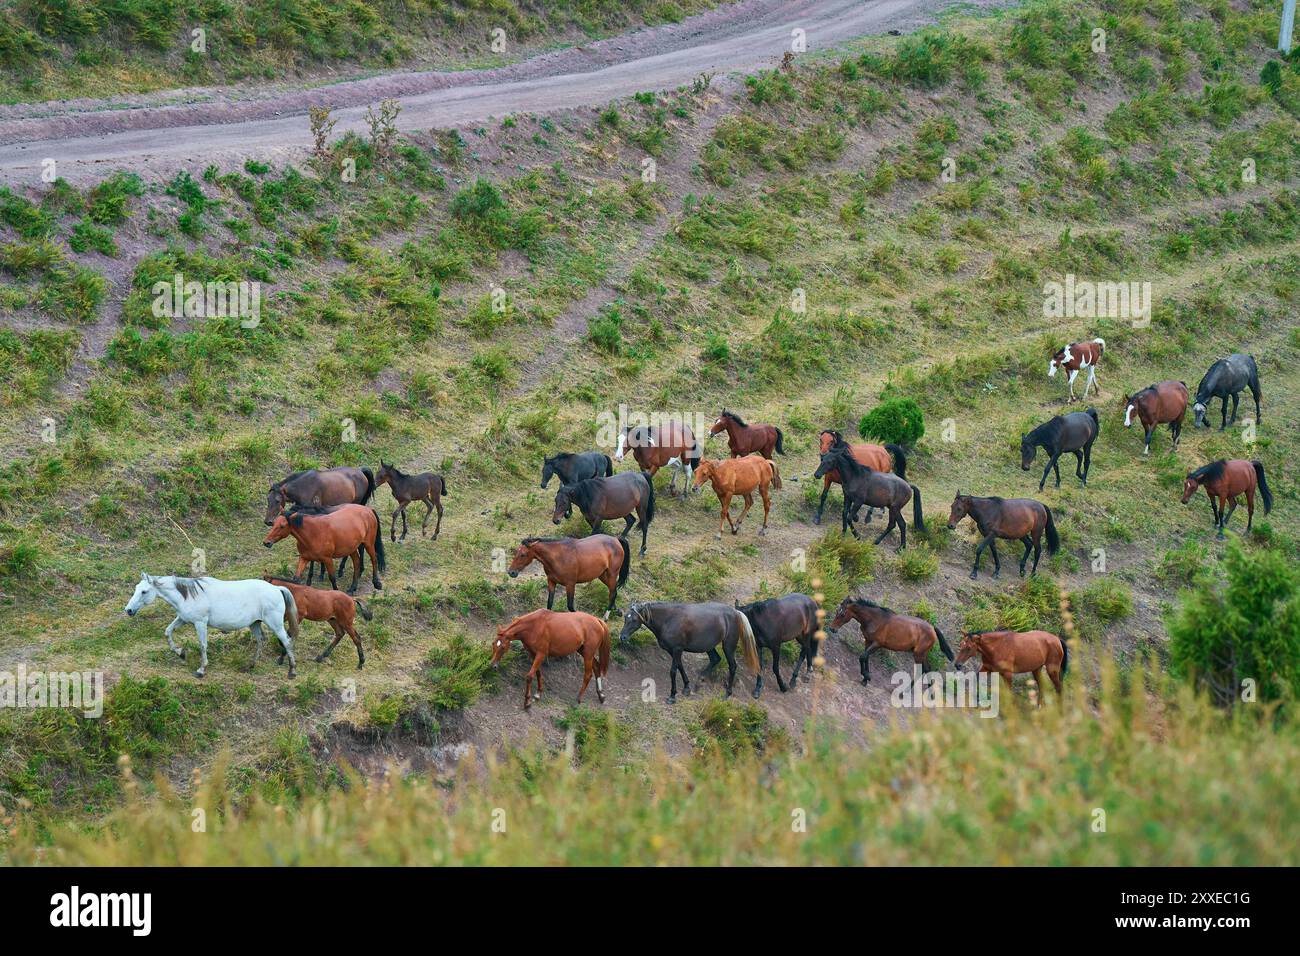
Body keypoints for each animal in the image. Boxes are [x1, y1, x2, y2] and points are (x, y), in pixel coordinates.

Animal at [124, 573, 299, 679]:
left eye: (144, 591)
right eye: (136, 589)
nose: (128, 610)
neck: (189, 595)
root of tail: (276, 588)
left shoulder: (200, 623)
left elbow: (202, 645)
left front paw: (201, 670)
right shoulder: (182, 619)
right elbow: (168, 632)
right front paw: (181, 653)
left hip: (275, 624)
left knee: (287, 641)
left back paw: (292, 671)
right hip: (254, 624)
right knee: (261, 640)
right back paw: (251, 665)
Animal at [618, 601, 759, 703]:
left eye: (634, 619)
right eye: (625, 617)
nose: (622, 637)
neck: (668, 619)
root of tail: (736, 612)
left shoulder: (677, 649)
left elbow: (673, 671)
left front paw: (672, 695)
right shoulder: (673, 650)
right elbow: (680, 666)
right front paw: (686, 687)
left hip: (728, 647)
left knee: (732, 666)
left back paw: (727, 693)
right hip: (709, 647)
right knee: (715, 659)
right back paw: (699, 682)